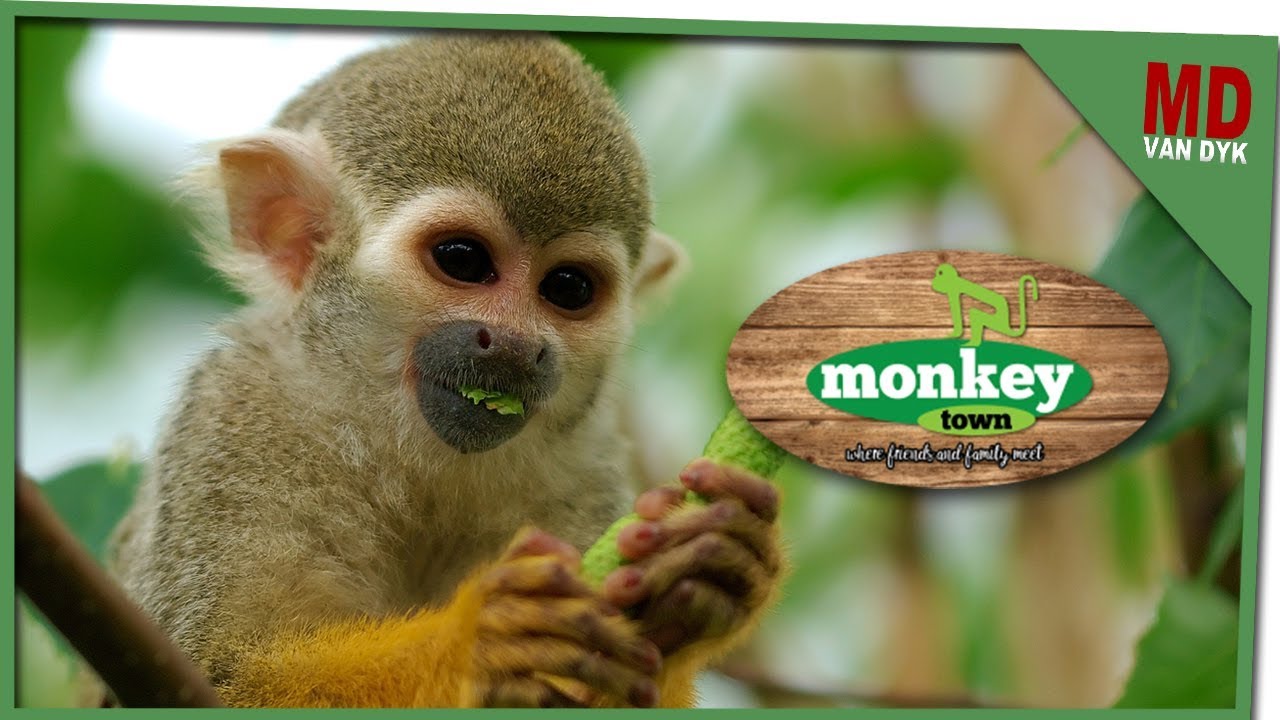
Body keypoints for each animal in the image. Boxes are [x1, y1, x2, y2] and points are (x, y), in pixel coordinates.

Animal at [107, 33, 784, 708]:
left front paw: (697, 579)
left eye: (568, 288)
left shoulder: (584, 469)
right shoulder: (234, 418)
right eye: (462, 260)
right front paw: (477, 641)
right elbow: (226, 672)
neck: (402, 446)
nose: (515, 346)